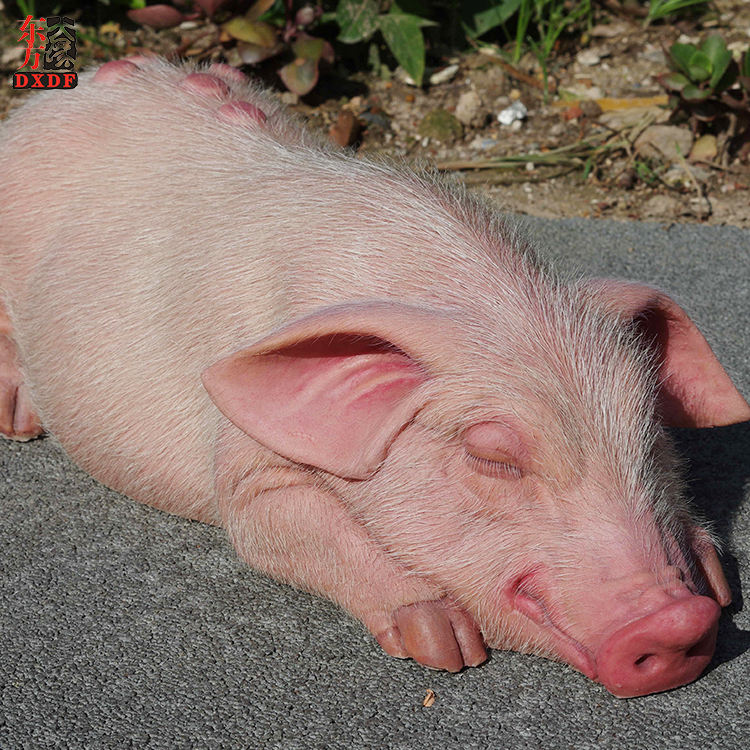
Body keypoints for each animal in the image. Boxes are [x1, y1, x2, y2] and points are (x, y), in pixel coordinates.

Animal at [1, 57, 748, 699]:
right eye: (492, 455)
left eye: (650, 438)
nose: (678, 622)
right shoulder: (245, 459)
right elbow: (263, 522)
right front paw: (445, 647)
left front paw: (715, 578)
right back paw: (19, 422)